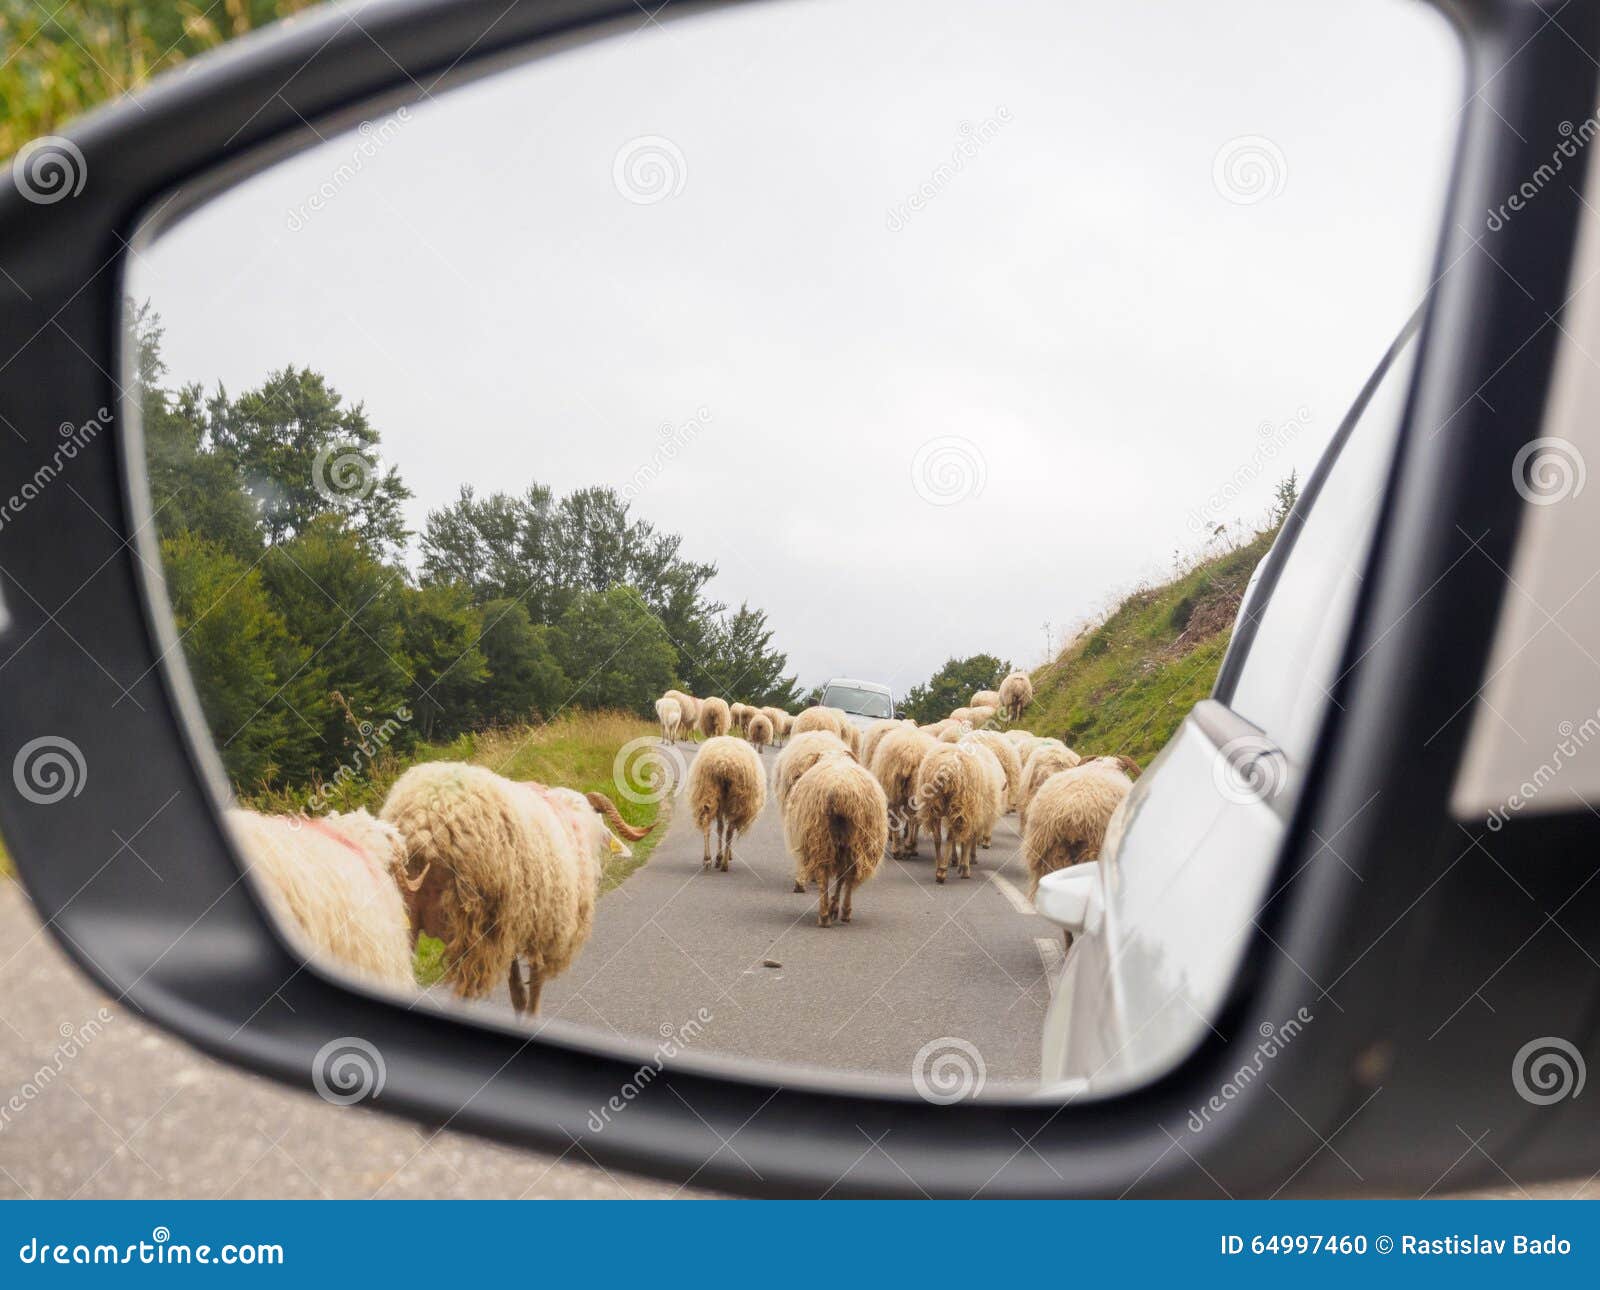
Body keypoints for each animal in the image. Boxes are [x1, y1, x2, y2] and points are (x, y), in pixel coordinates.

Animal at [380, 763, 651, 1015]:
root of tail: (425, 819)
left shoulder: (511, 924)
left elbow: (517, 989)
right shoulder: (547, 925)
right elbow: (535, 987)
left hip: (409, 915)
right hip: (472, 926)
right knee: (462, 995)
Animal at [686, 735, 766, 872]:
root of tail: (724, 763)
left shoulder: (720, 805)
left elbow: (719, 828)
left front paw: (719, 856)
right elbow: (724, 829)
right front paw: (725, 856)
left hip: (708, 791)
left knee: (707, 822)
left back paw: (707, 859)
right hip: (736, 800)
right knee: (729, 831)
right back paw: (724, 864)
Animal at [784, 756, 889, 926]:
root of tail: (840, 790)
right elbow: (841, 877)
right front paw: (836, 907)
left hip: (821, 838)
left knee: (824, 875)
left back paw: (825, 915)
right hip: (855, 842)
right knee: (848, 874)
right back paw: (842, 911)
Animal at [869, 726, 936, 858]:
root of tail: (911, 754)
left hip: (895, 791)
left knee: (900, 819)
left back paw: (899, 848)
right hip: (917, 789)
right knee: (914, 818)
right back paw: (910, 846)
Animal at [913, 740, 1003, 883]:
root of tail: (946, 770)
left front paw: (959, 862)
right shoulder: (971, 813)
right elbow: (968, 839)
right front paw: (965, 866)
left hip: (933, 807)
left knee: (938, 837)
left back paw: (939, 865)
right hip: (959, 805)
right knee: (950, 837)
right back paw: (942, 871)